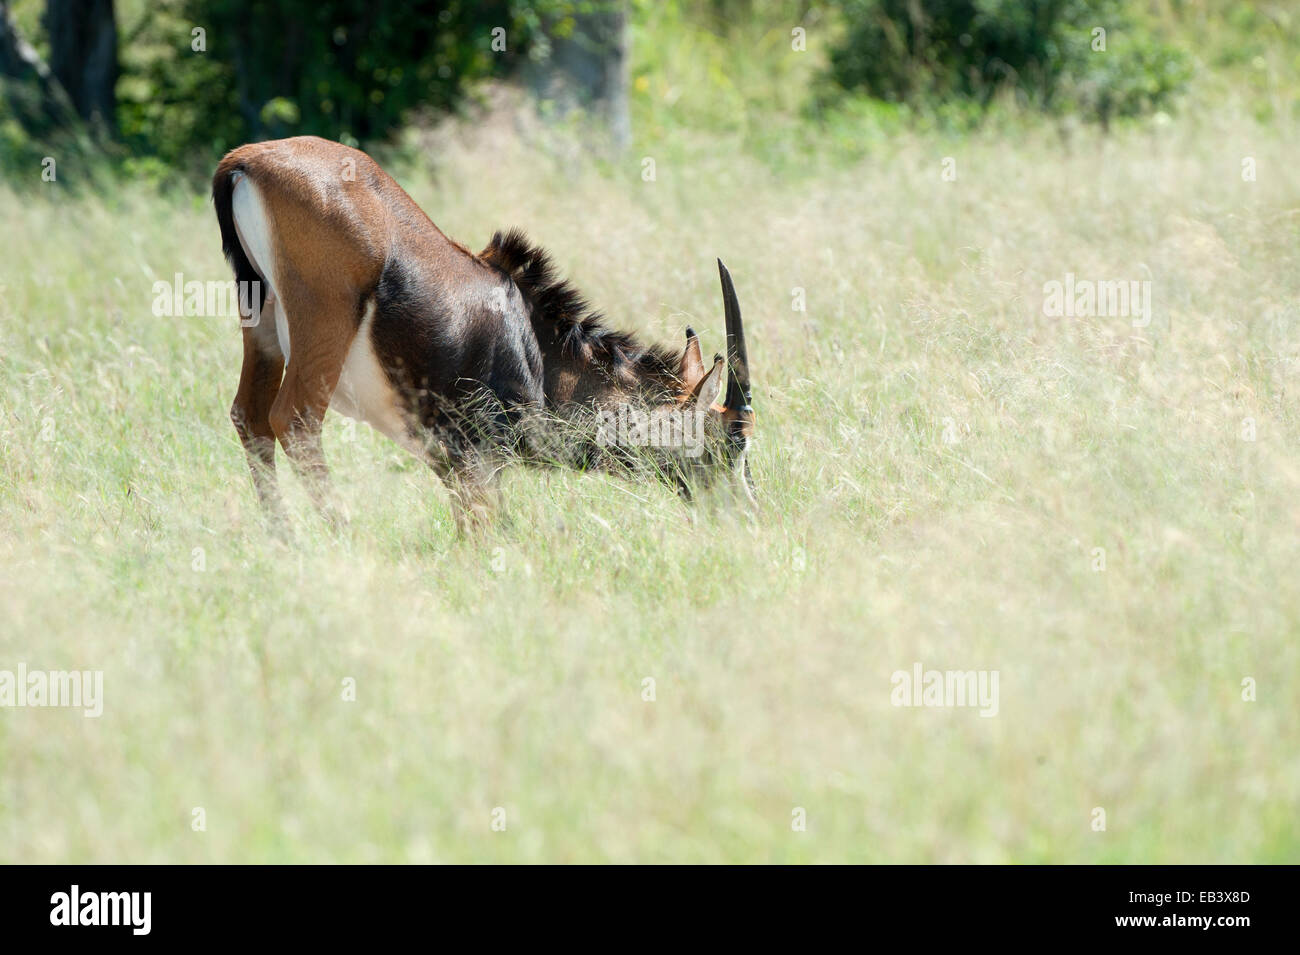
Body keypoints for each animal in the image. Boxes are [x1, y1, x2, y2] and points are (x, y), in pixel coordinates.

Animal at [212, 136, 754, 532]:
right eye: (732, 442)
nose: (748, 514)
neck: (534, 346)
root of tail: (246, 161)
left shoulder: (452, 464)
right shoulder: (474, 460)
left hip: (260, 324)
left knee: (251, 417)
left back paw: (285, 539)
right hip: (323, 325)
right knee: (294, 420)